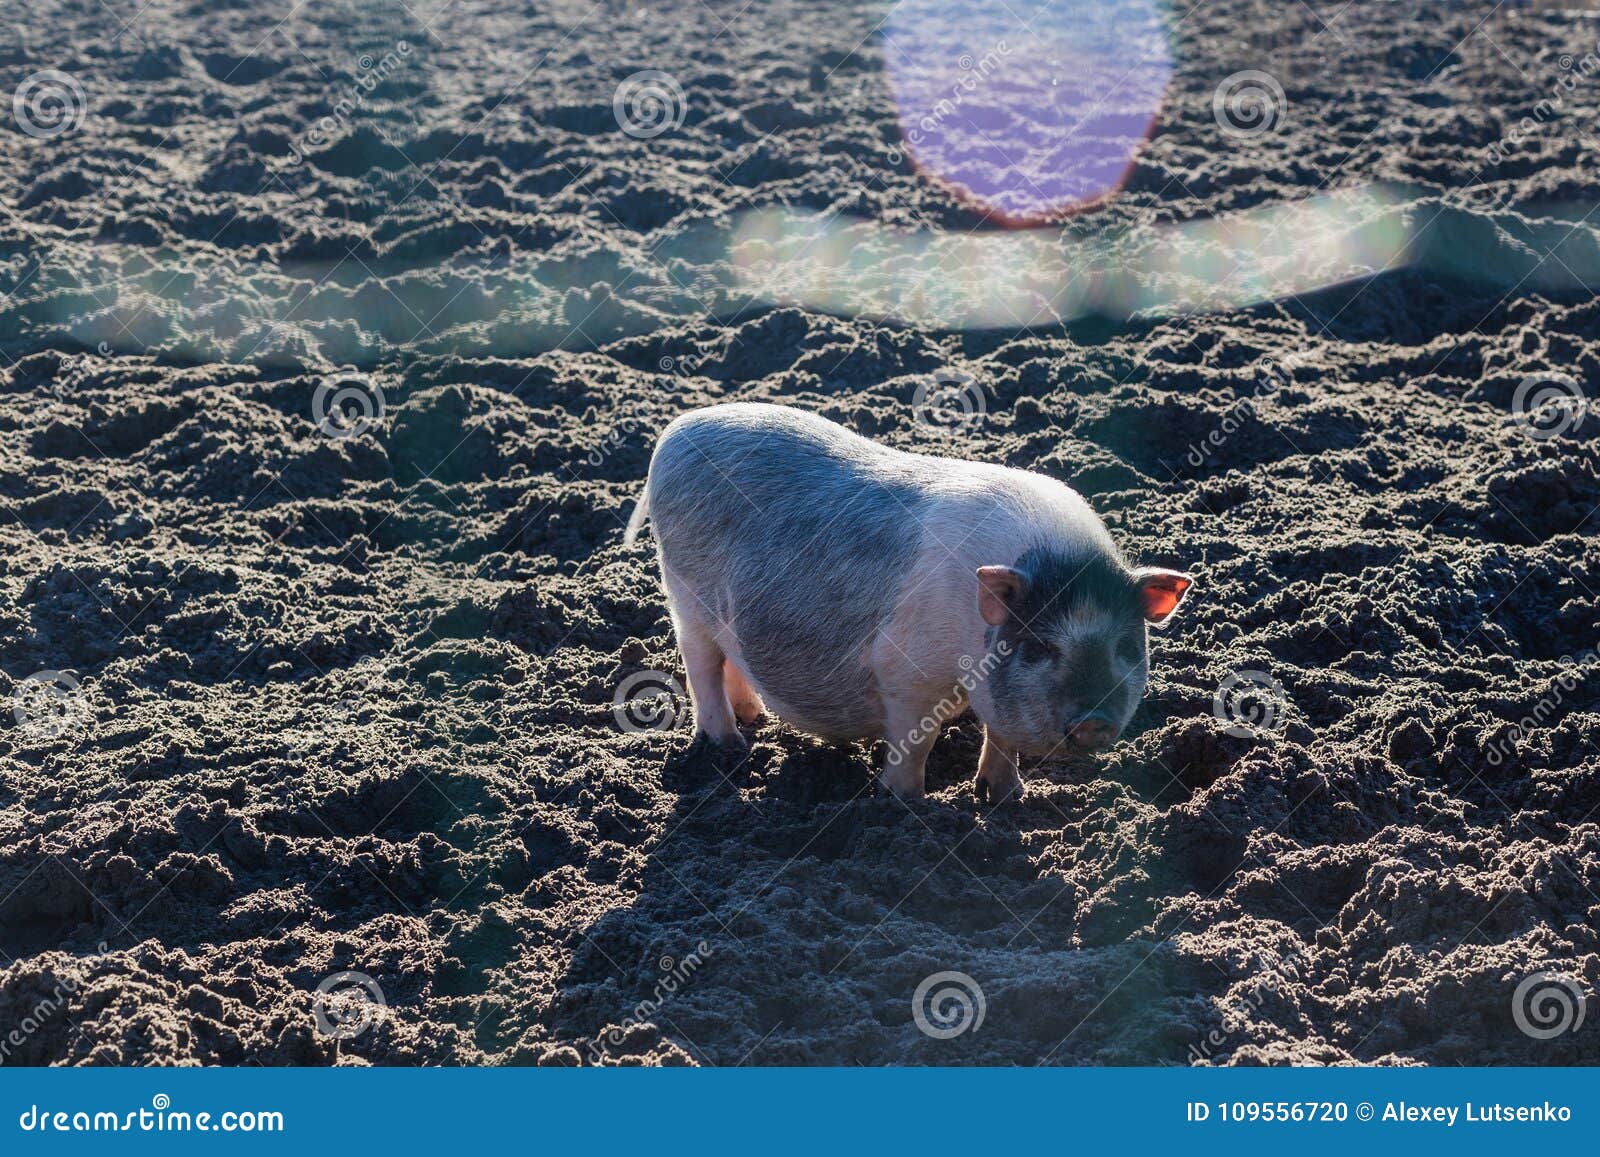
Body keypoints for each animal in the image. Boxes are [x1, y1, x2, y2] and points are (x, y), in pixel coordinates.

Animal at [624, 402, 1192, 801]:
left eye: (1124, 646)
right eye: (1041, 646)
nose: (1094, 720)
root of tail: (677, 429)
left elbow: (1001, 737)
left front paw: (1004, 797)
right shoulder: (902, 670)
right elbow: (917, 738)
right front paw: (904, 802)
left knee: (731, 659)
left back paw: (756, 720)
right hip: (683, 591)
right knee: (700, 663)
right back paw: (730, 747)